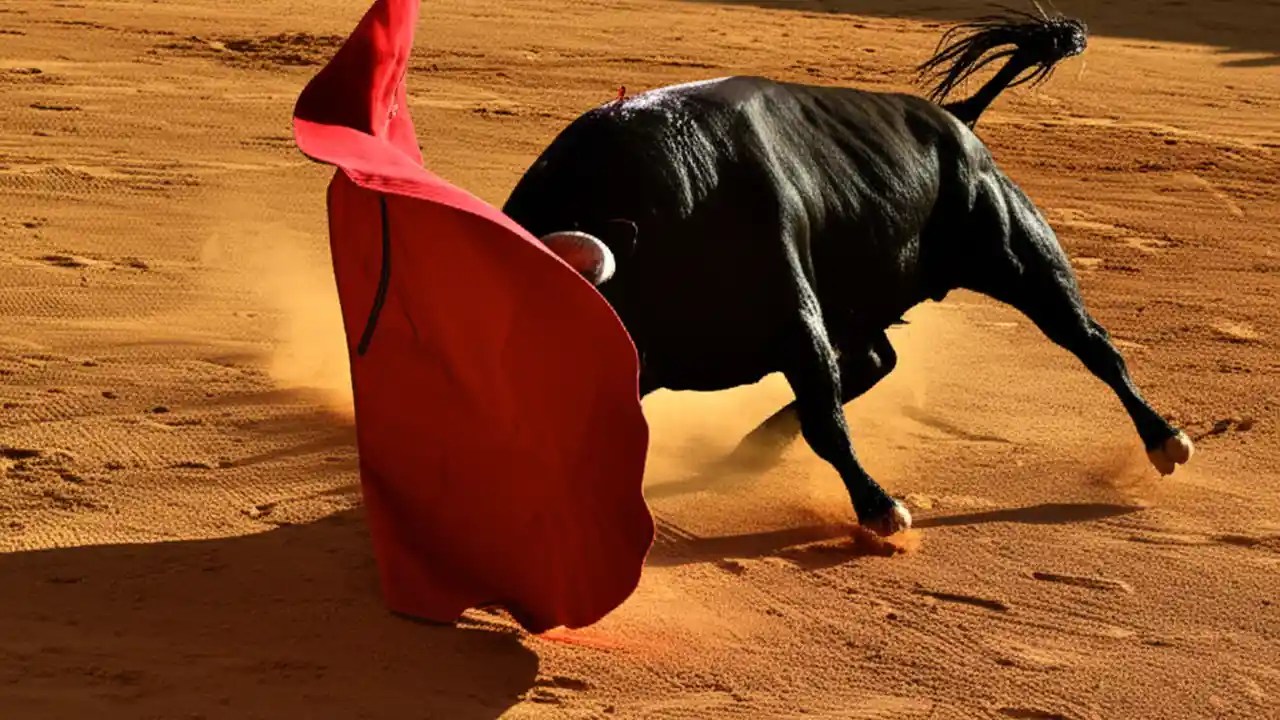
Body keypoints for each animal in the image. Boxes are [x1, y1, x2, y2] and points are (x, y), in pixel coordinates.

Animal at [500, 7, 1194, 537]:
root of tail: (957, 118)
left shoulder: (794, 319)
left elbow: (826, 423)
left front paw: (882, 510)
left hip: (1019, 255)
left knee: (1092, 343)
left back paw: (1165, 439)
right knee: (876, 360)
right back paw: (752, 448)